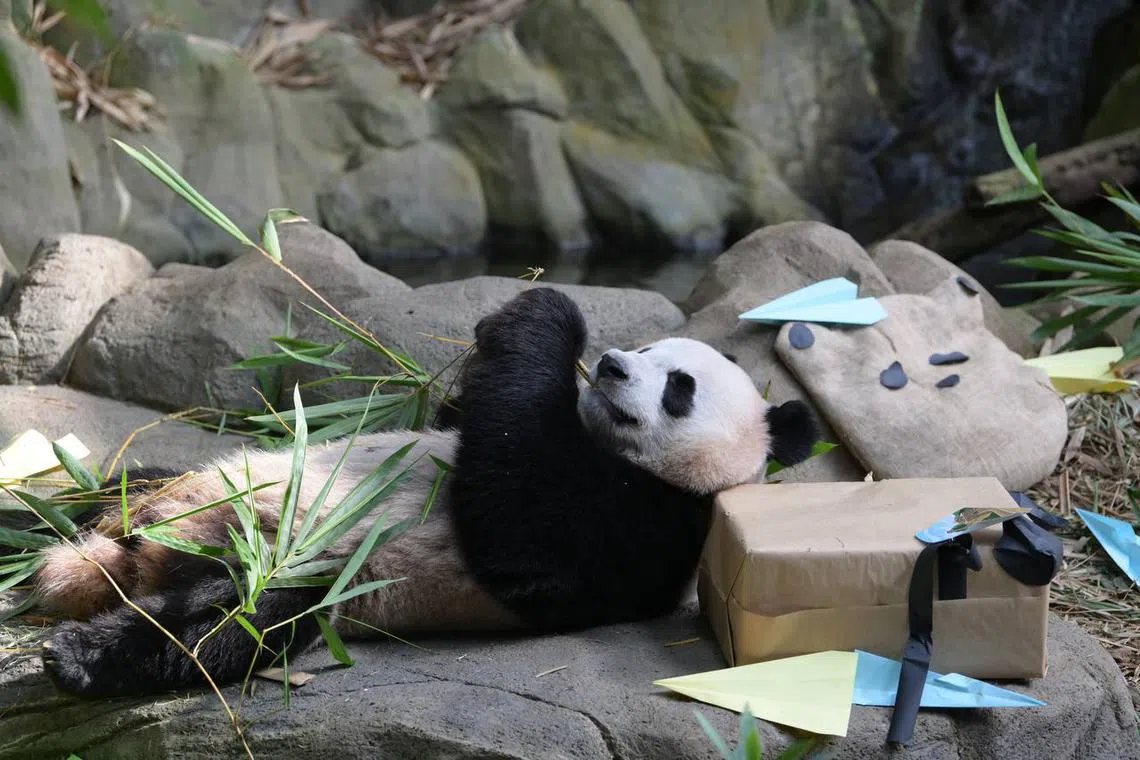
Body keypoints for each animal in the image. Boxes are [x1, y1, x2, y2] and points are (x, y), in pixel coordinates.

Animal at [33, 287, 819, 698]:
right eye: (654, 350)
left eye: (680, 388)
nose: (615, 365)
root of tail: (139, 551)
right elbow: (461, 418)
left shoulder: (650, 530)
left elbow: (528, 533)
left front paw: (550, 314)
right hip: (176, 487)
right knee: (122, 489)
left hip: (307, 572)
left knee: (227, 624)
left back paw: (79, 654)